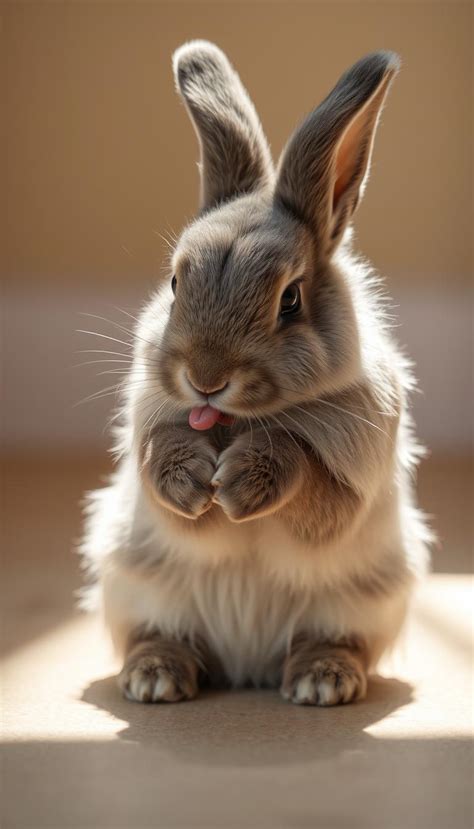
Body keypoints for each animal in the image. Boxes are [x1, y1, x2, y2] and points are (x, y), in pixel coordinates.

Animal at [81, 41, 431, 706]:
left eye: (289, 300)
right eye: (174, 283)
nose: (205, 377)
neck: (231, 419)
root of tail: (246, 668)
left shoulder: (353, 468)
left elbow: (315, 486)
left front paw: (241, 481)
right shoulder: (150, 434)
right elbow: (163, 473)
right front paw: (194, 481)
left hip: (363, 602)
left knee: (335, 641)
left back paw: (322, 682)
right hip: (137, 583)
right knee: (158, 634)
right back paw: (154, 678)